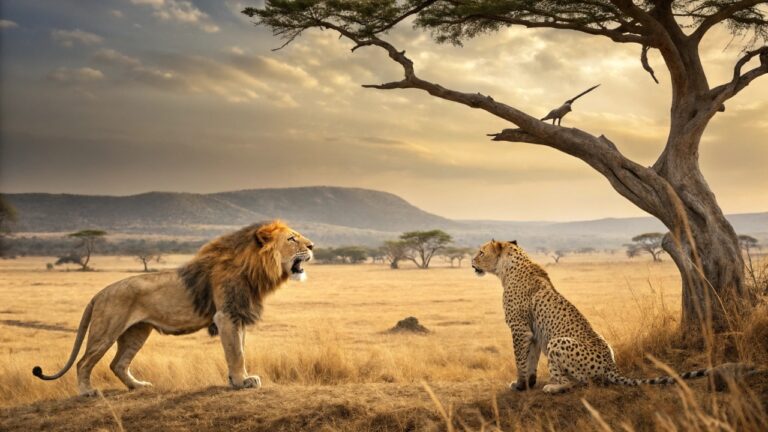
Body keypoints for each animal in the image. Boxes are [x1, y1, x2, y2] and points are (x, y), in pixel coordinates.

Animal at [32, 221, 314, 396]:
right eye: (292, 238)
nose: (312, 246)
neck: (255, 269)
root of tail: (99, 293)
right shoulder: (226, 315)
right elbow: (236, 353)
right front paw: (242, 381)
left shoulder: (238, 315)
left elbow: (239, 349)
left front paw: (237, 380)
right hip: (106, 330)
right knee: (83, 363)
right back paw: (87, 392)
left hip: (137, 331)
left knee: (117, 364)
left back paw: (138, 386)